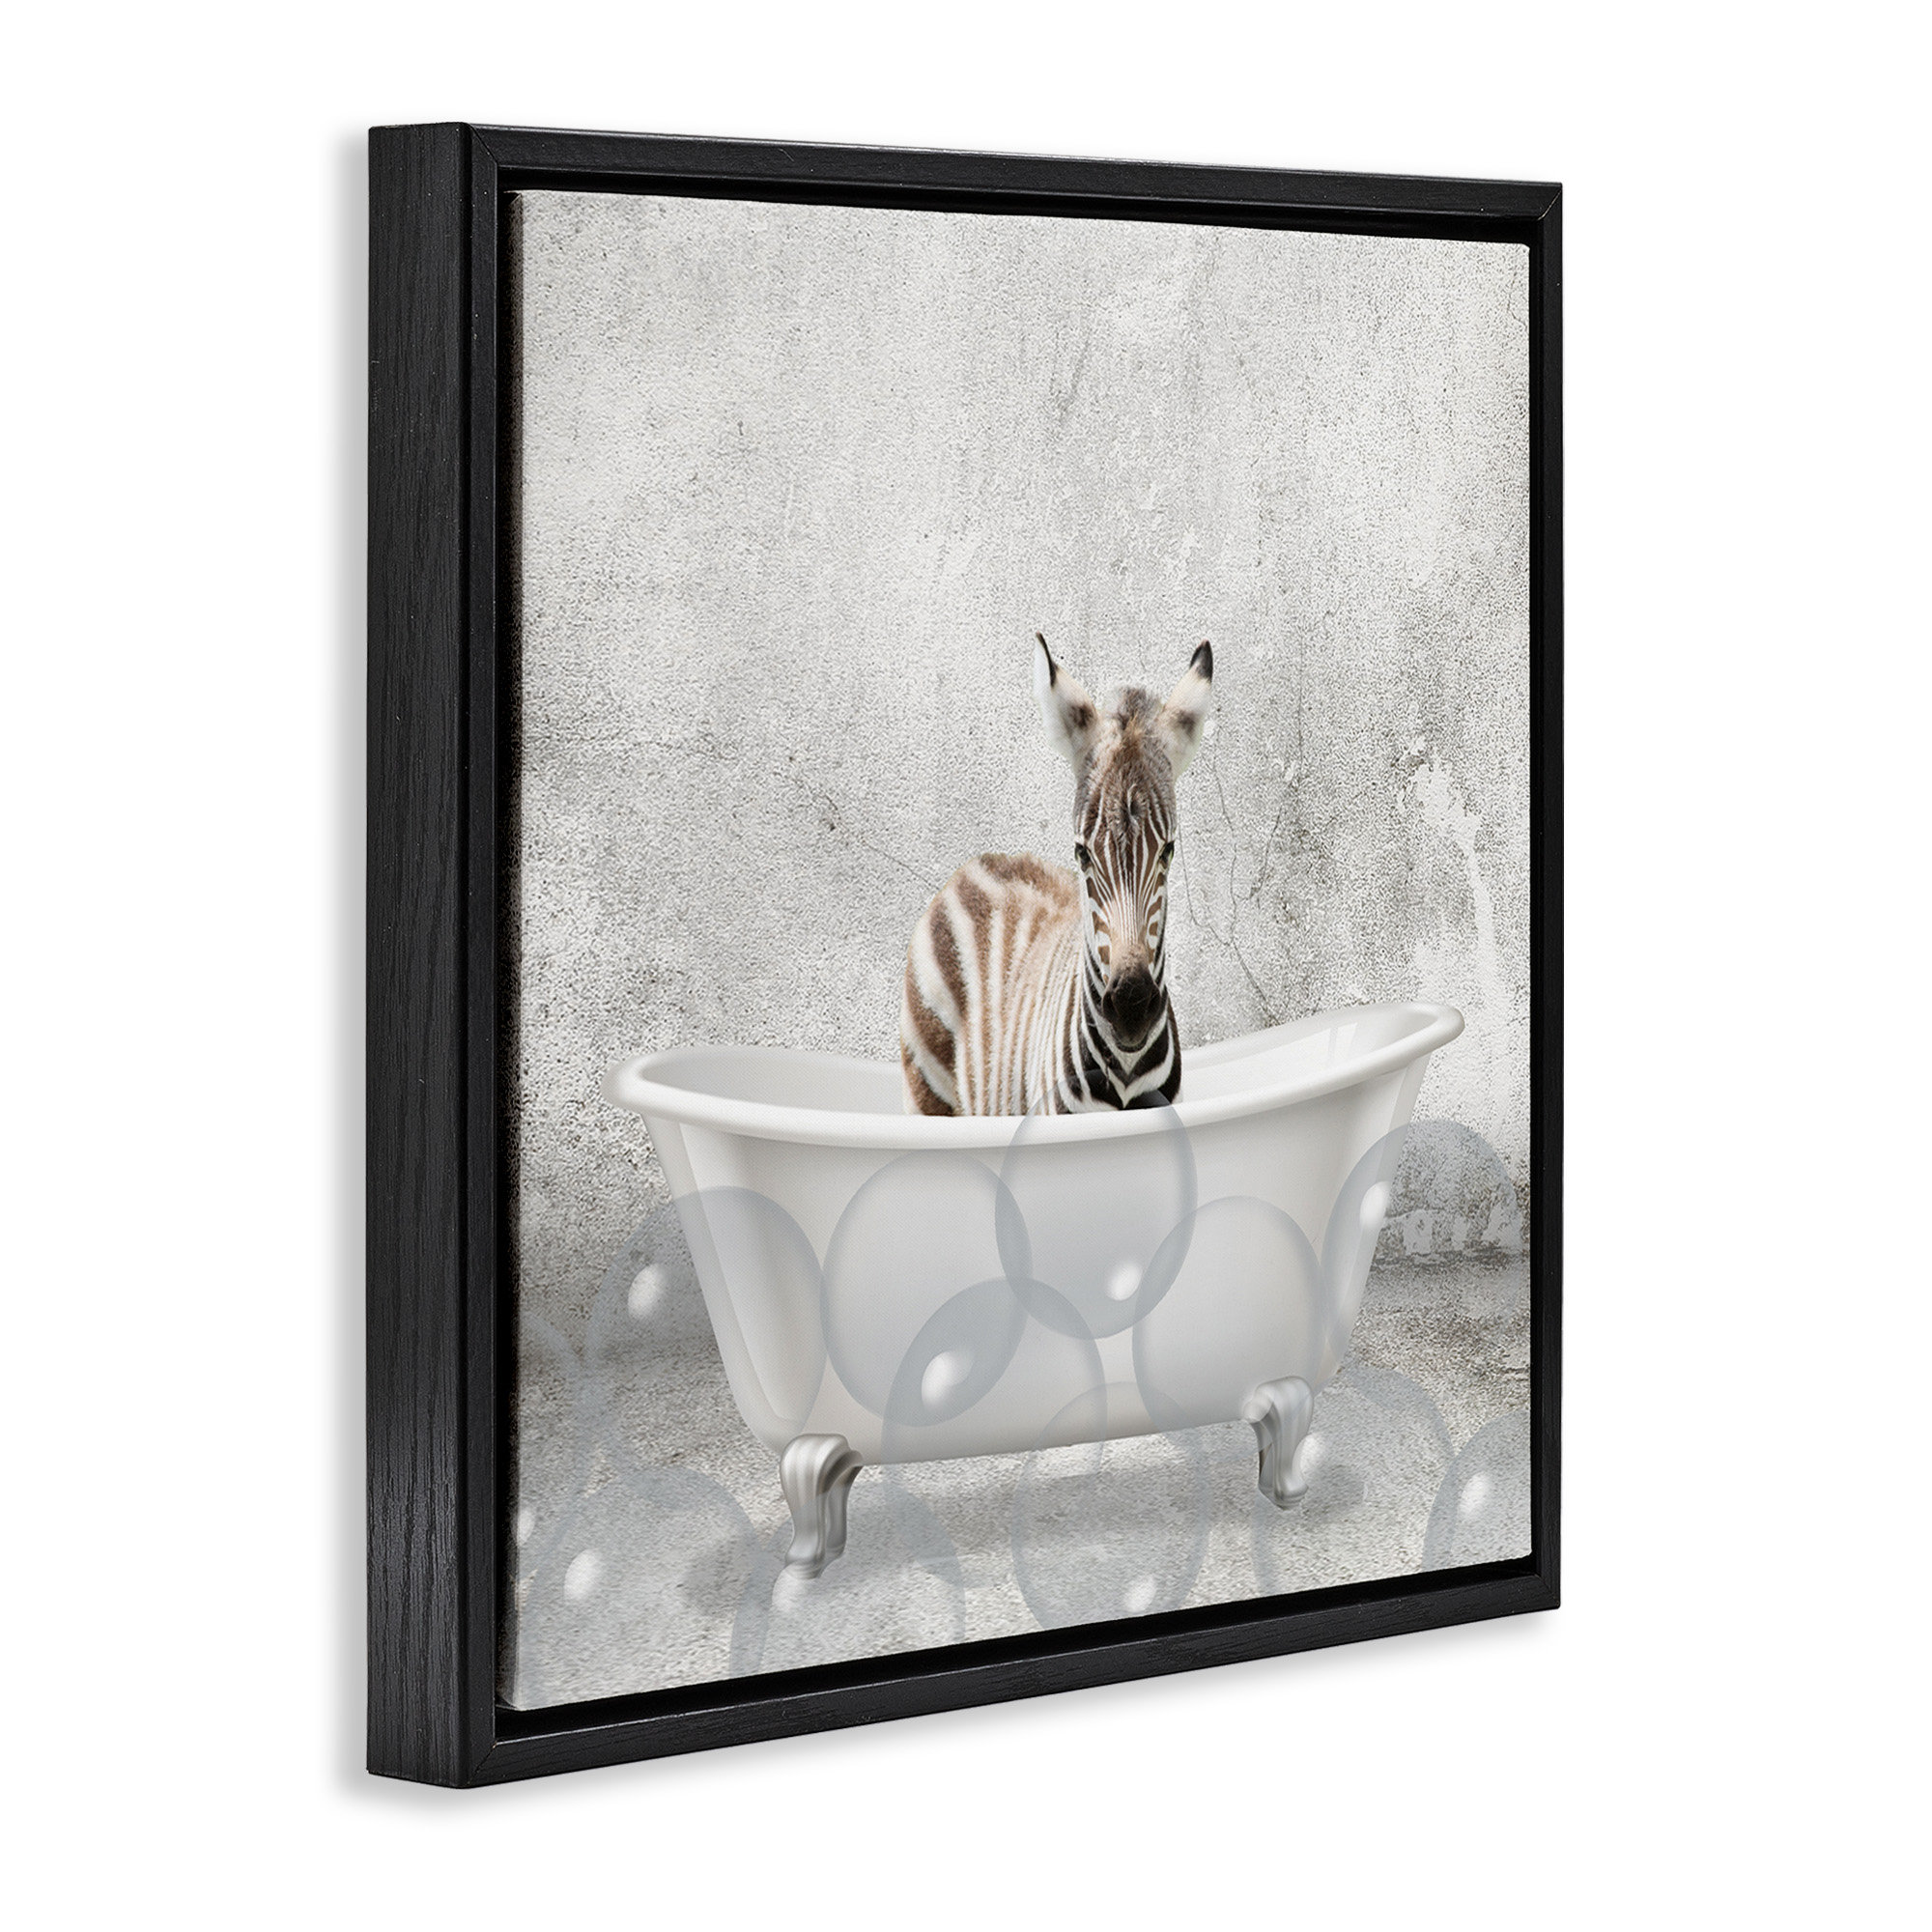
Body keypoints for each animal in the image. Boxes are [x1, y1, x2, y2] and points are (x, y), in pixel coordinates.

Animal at [900, 633, 1214, 1116]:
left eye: (1168, 850)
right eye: (1081, 853)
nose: (1131, 1008)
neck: (1126, 1073)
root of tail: (981, 862)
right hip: (927, 1090)